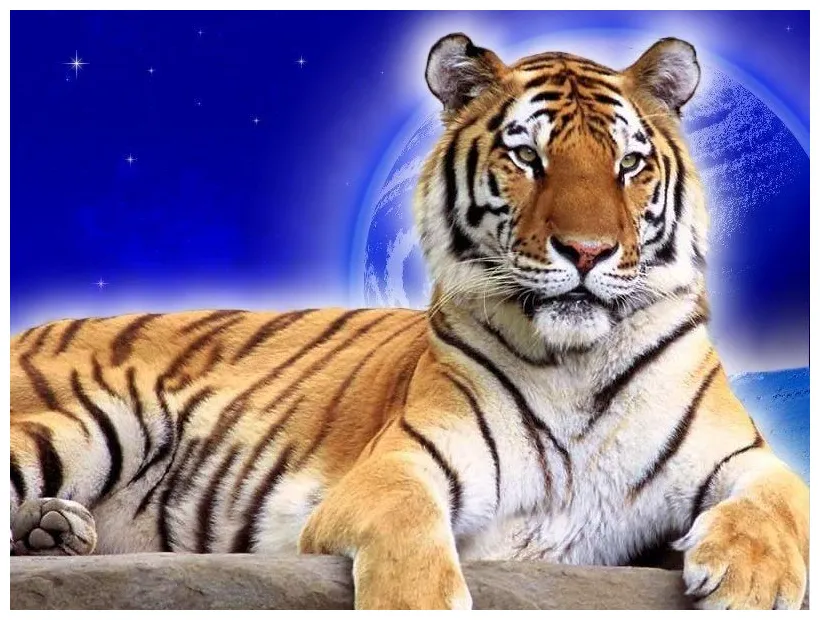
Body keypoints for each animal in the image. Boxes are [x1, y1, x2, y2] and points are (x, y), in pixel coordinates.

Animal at [9, 33, 809, 610]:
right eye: (528, 156)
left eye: (629, 165)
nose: (587, 250)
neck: (575, 363)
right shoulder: (400, 464)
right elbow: (409, 533)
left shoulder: (742, 456)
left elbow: (782, 501)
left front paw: (750, 585)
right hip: (94, 422)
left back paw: (54, 531)